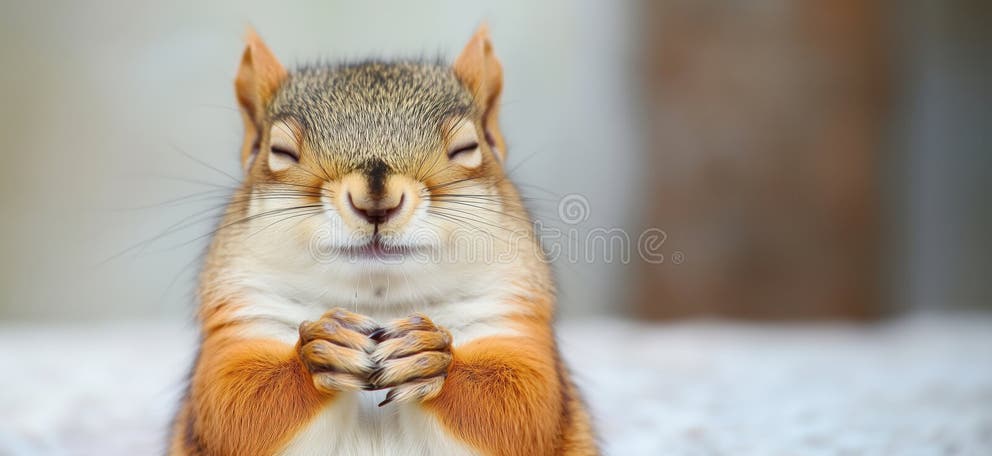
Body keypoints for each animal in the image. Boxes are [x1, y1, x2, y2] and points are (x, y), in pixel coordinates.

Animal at [168, 25, 597, 456]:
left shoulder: (512, 319)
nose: (376, 201)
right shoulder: (243, 320)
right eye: (280, 151)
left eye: (466, 147)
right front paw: (321, 349)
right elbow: (234, 405)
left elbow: (523, 406)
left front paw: (430, 355)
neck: (380, 301)